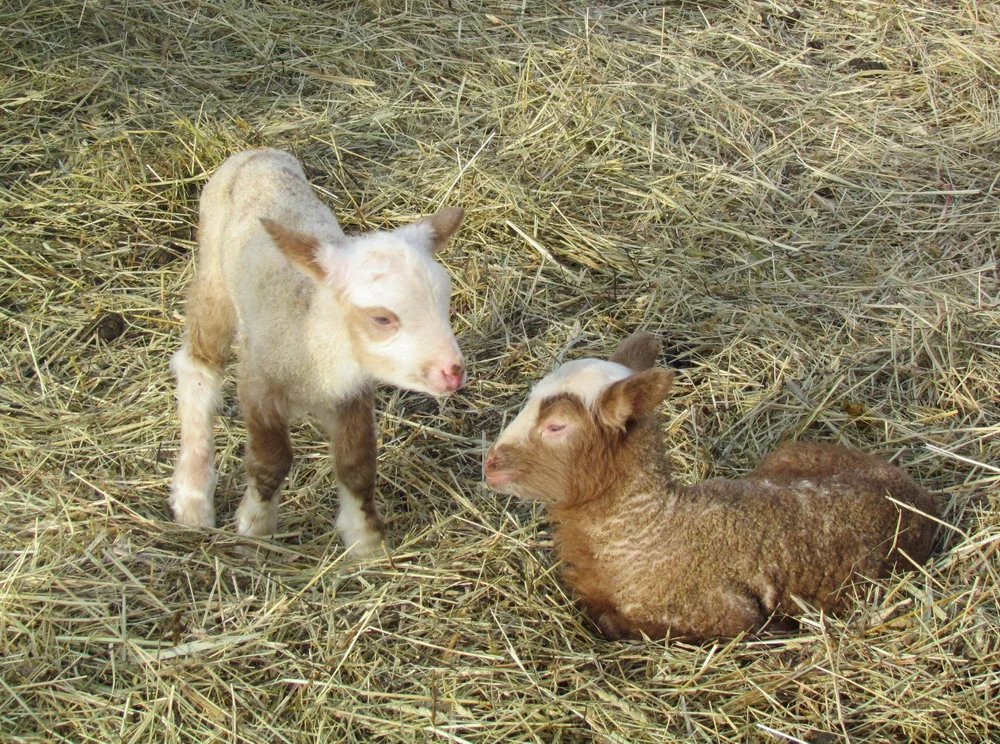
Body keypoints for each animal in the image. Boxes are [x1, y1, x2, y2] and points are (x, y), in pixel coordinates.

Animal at [170, 148, 466, 558]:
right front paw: (255, 527)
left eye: (445, 303)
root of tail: (256, 152)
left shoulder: (352, 395)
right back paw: (194, 497)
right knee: (198, 368)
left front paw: (366, 541)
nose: (452, 372)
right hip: (214, 268)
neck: (313, 341)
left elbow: (357, 465)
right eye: (382, 318)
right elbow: (271, 461)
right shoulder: (258, 383)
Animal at [485, 333, 938, 641]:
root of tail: (920, 496)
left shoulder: (726, 615)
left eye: (557, 426)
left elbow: (613, 622)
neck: (644, 528)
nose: (490, 463)